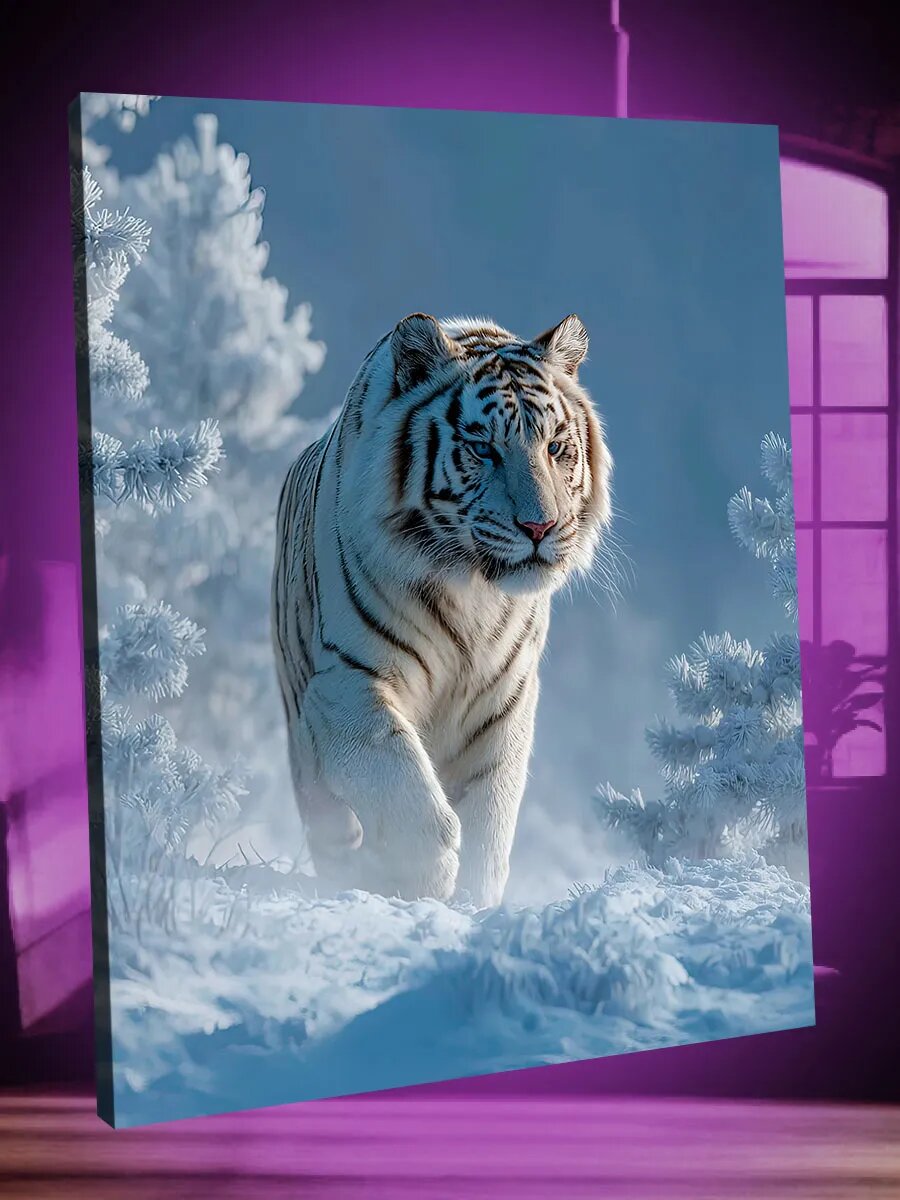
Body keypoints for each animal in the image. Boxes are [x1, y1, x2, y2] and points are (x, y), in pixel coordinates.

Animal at [271, 313, 612, 908]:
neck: (473, 589)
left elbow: (489, 811)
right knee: (333, 825)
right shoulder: (345, 683)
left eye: (555, 446)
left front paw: (471, 894)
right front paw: (426, 873)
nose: (540, 527)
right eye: (482, 448)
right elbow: (396, 775)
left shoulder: (506, 699)